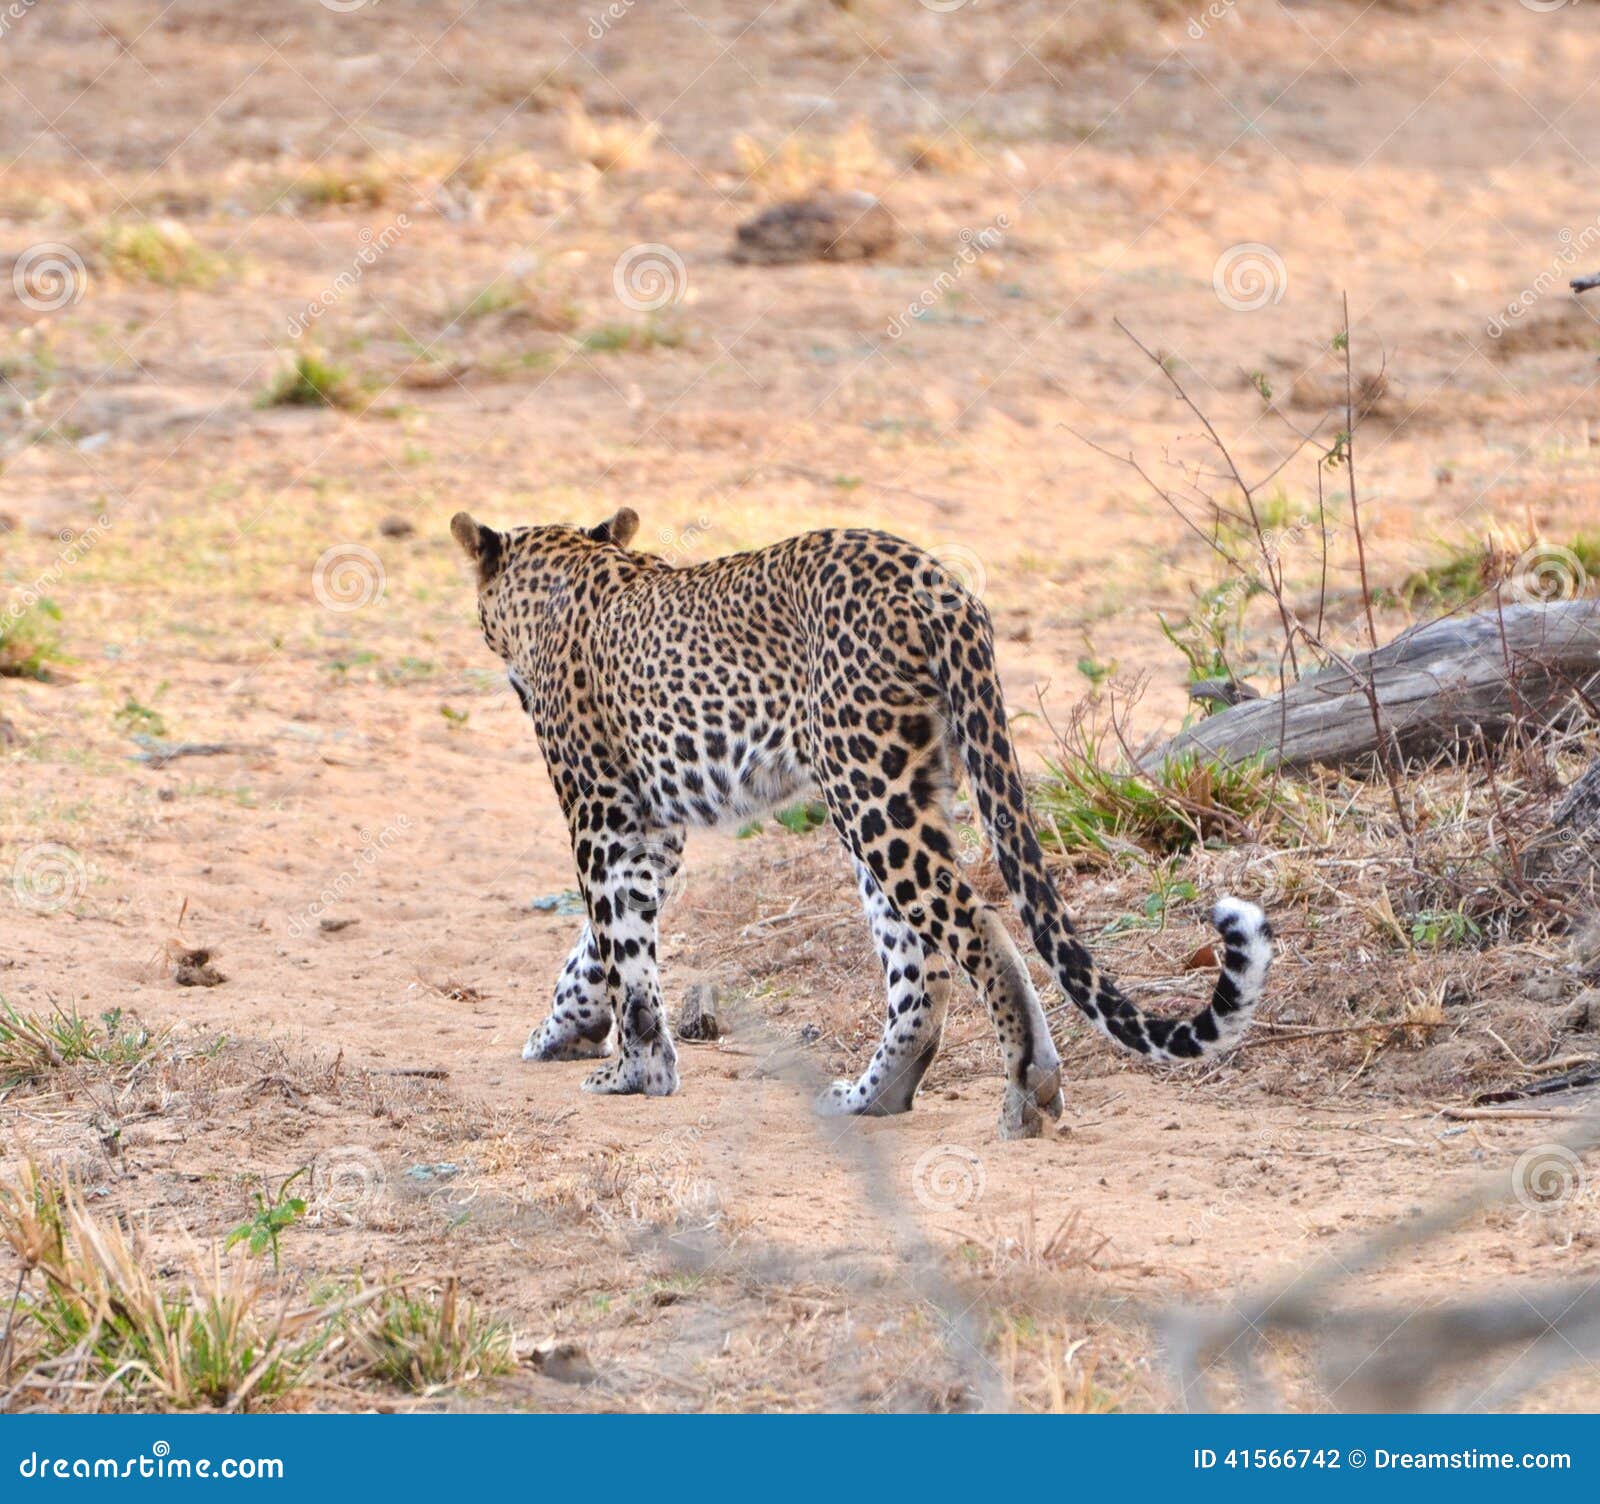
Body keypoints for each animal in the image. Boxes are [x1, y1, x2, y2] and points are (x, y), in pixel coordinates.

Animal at [451, 507, 1273, 1139]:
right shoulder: (653, 829)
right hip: (906, 785)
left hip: (866, 788)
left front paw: (636, 1067)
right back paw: (875, 1095)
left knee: (975, 924)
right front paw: (569, 1028)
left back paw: (1024, 1087)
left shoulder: (603, 813)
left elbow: (617, 940)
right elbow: (601, 944)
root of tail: (939, 585)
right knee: (922, 964)